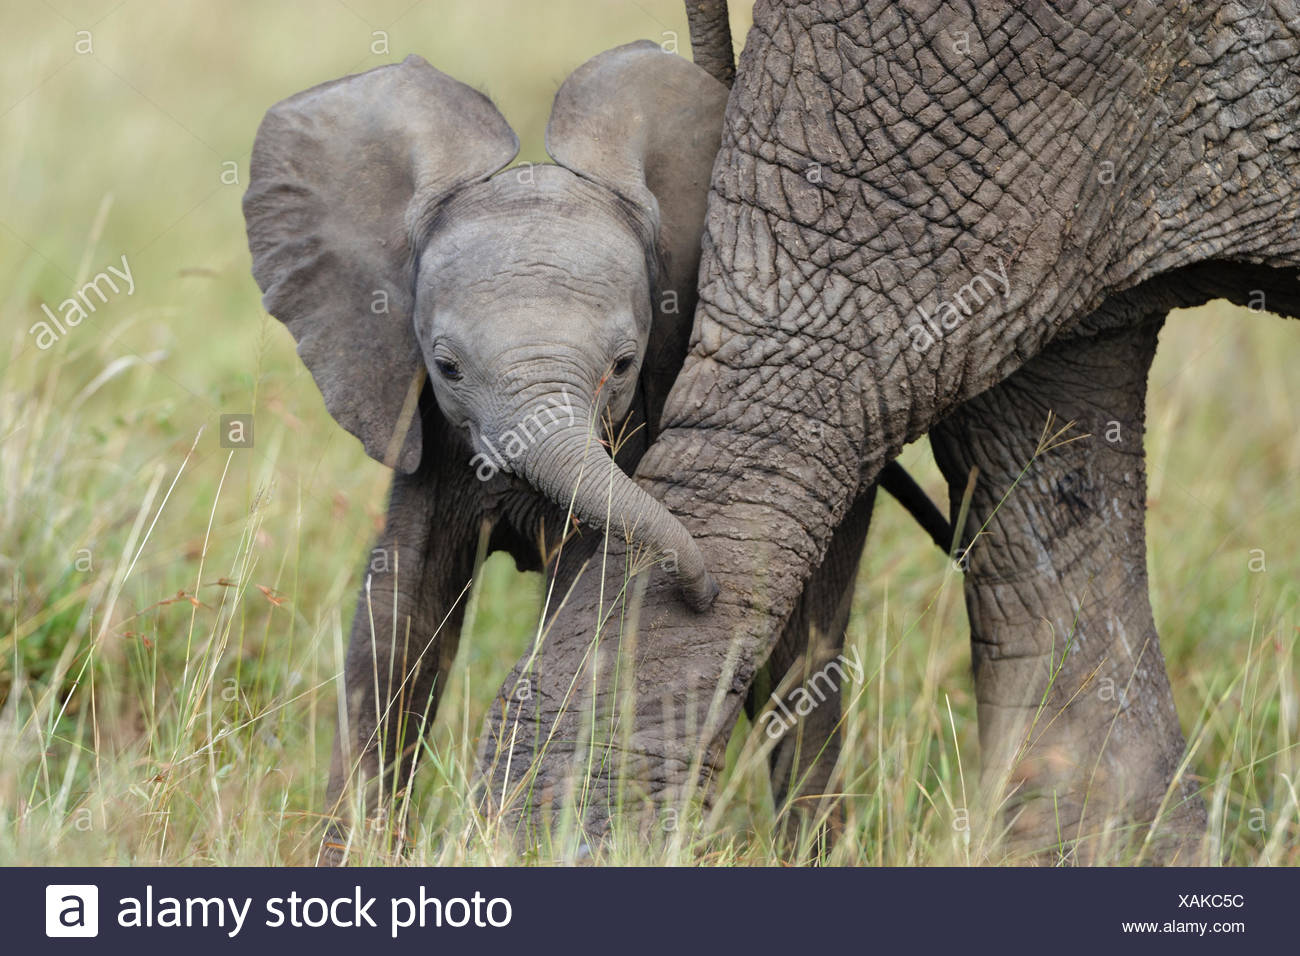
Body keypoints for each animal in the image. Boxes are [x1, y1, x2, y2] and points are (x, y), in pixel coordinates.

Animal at [241, 40, 951, 863]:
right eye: (446, 367)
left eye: (623, 363)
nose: (702, 587)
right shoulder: (431, 433)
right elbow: (399, 611)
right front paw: (350, 848)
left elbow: (575, 581)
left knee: (804, 658)